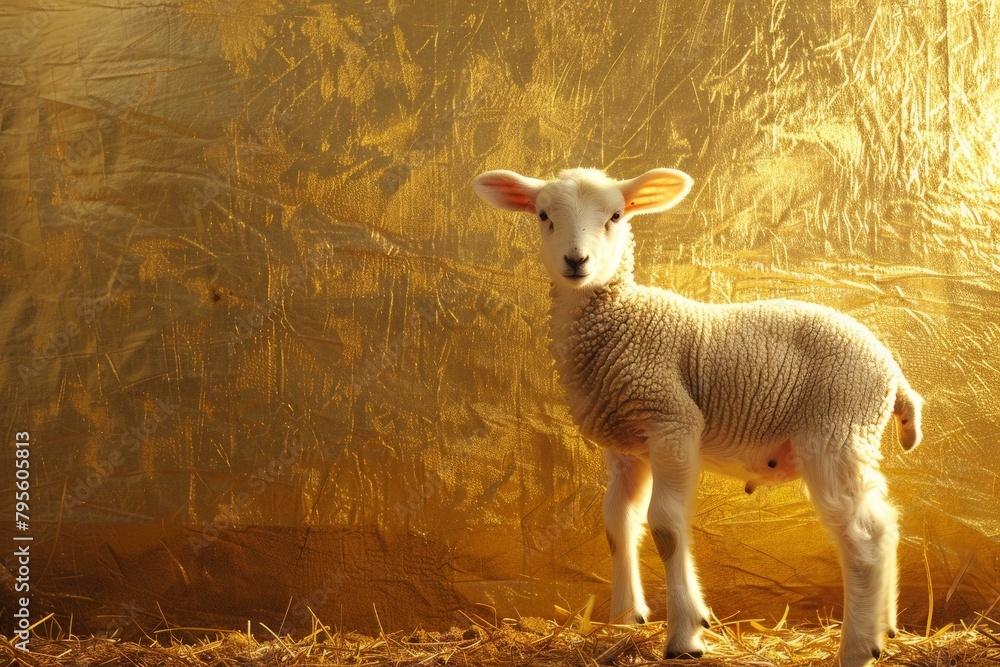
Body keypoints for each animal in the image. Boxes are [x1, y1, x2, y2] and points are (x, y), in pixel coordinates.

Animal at [472, 167, 923, 667]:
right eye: (543, 215)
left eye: (616, 216)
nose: (576, 260)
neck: (620, 318)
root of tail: (893, 372)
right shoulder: (626, 442)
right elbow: (616, 523)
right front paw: (624, 622)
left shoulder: (672, 419)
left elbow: (666, 526)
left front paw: (685, 635)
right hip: (852, 432)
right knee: (886, 522)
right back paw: (885, 628)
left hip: (836, 428)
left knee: (864, 534)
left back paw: (859, 645)